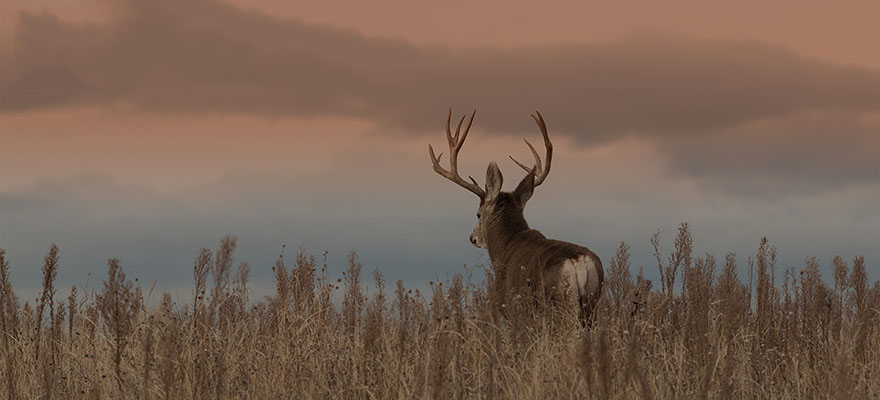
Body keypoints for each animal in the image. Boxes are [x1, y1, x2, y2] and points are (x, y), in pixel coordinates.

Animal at [429, 109, 604, 324]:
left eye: (478, 214)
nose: (473, 238)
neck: (504, 246)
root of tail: (580, 262)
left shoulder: (511, 307)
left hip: (561, 303)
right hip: (592, 303)